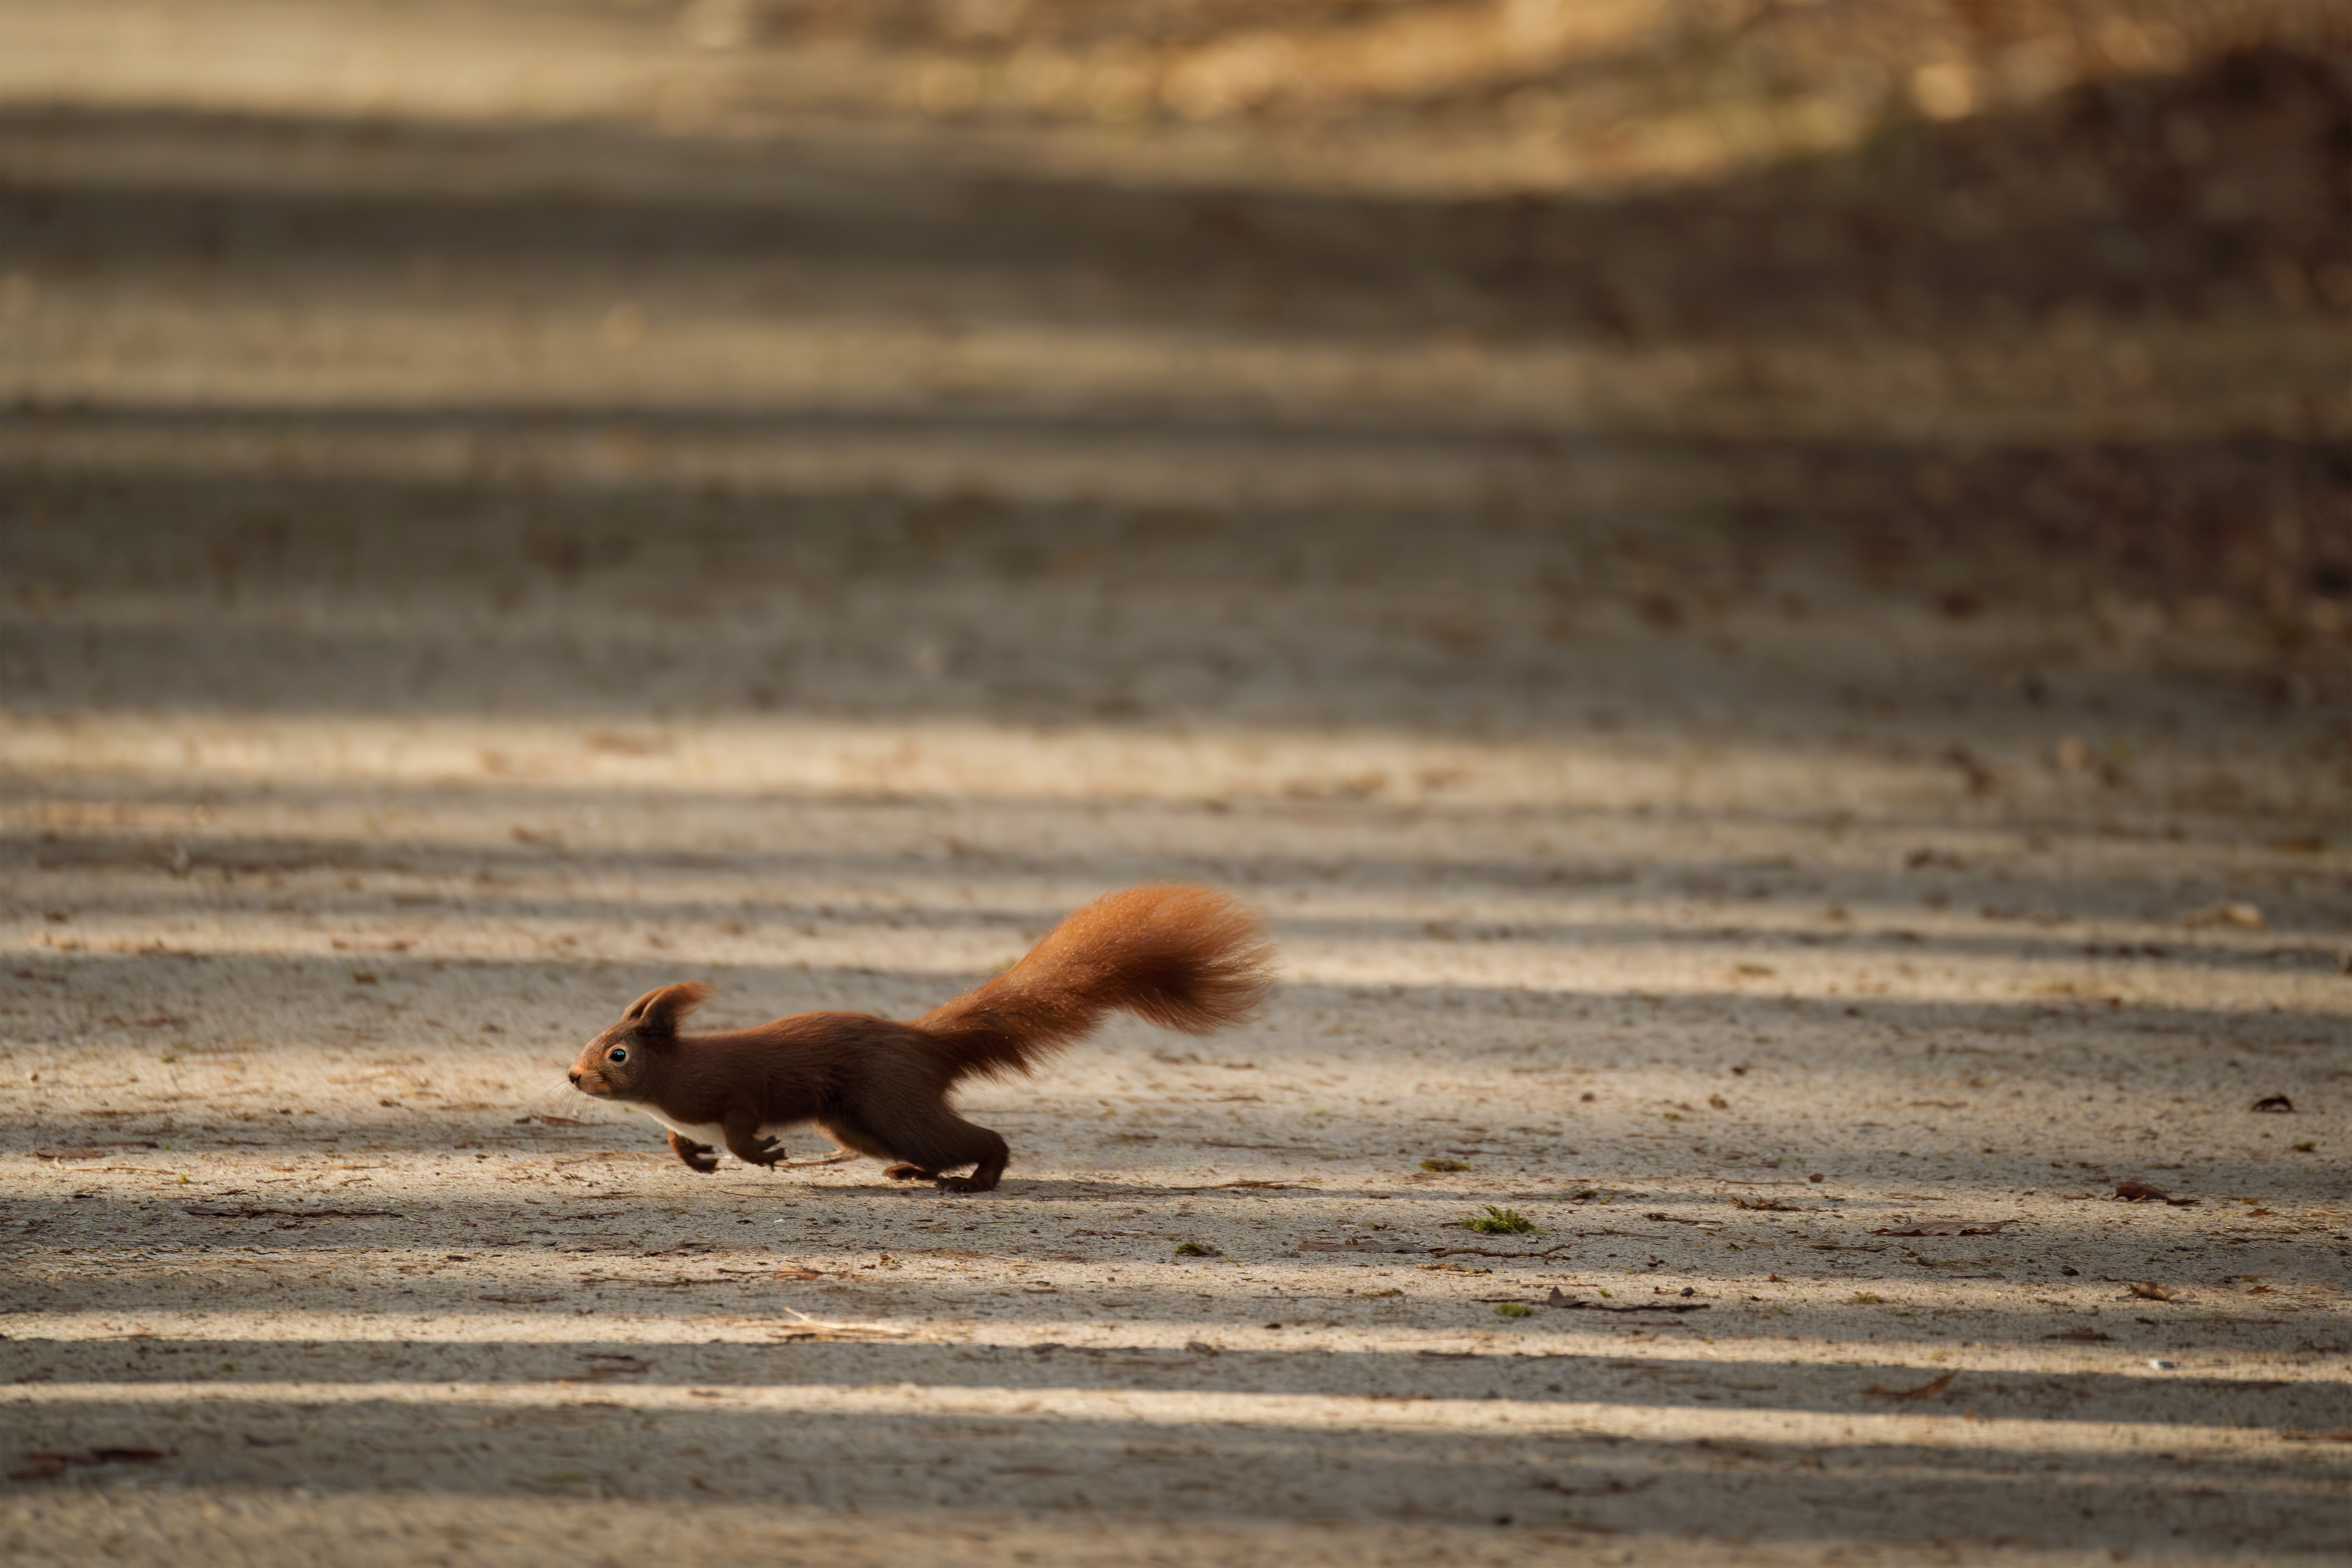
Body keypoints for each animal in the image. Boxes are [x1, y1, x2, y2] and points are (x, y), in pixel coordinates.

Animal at [566, 882, 1274, 1192]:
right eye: (587, 1043)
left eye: (617, 1053)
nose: (573, 1076)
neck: (668, 1084)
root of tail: (921, 1041)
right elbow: (678, 1139)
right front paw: (696, 1158)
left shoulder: (730, 1089)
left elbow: (742, 1125)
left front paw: (761, 1154)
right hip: (858, 1123)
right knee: (927, 1146)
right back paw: (913, 1172)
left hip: (890, 1102)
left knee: (978, 1139)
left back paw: (976, 1179)